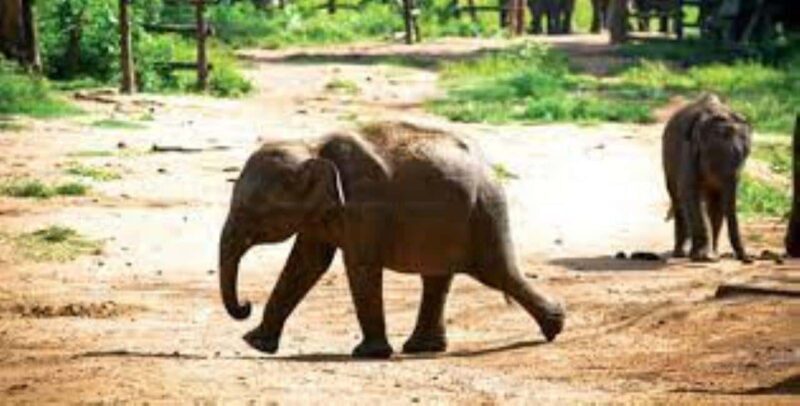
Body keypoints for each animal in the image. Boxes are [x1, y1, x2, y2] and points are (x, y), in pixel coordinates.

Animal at [219, 121, 565, 359]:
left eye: (251, 211)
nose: (245, 305)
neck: (311, 148)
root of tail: (489, 168)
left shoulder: (363, 207)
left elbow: (359, 266)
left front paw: (367, 354)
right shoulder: (321, 212)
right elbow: (306, 264)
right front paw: (255, 343)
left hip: (483, 213)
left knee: (496, 272)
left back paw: (555, 327)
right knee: (439, 277)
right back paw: (422, 348)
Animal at [662, 94, 752, 263]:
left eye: (745, 158)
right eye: (717, 160)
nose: (749, 259)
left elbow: (718, 203)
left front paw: (711, 256)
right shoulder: (687, 153)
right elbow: (690, 194)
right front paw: (702, 257)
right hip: (667, 160)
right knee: (677, 198)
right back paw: (680, 253)